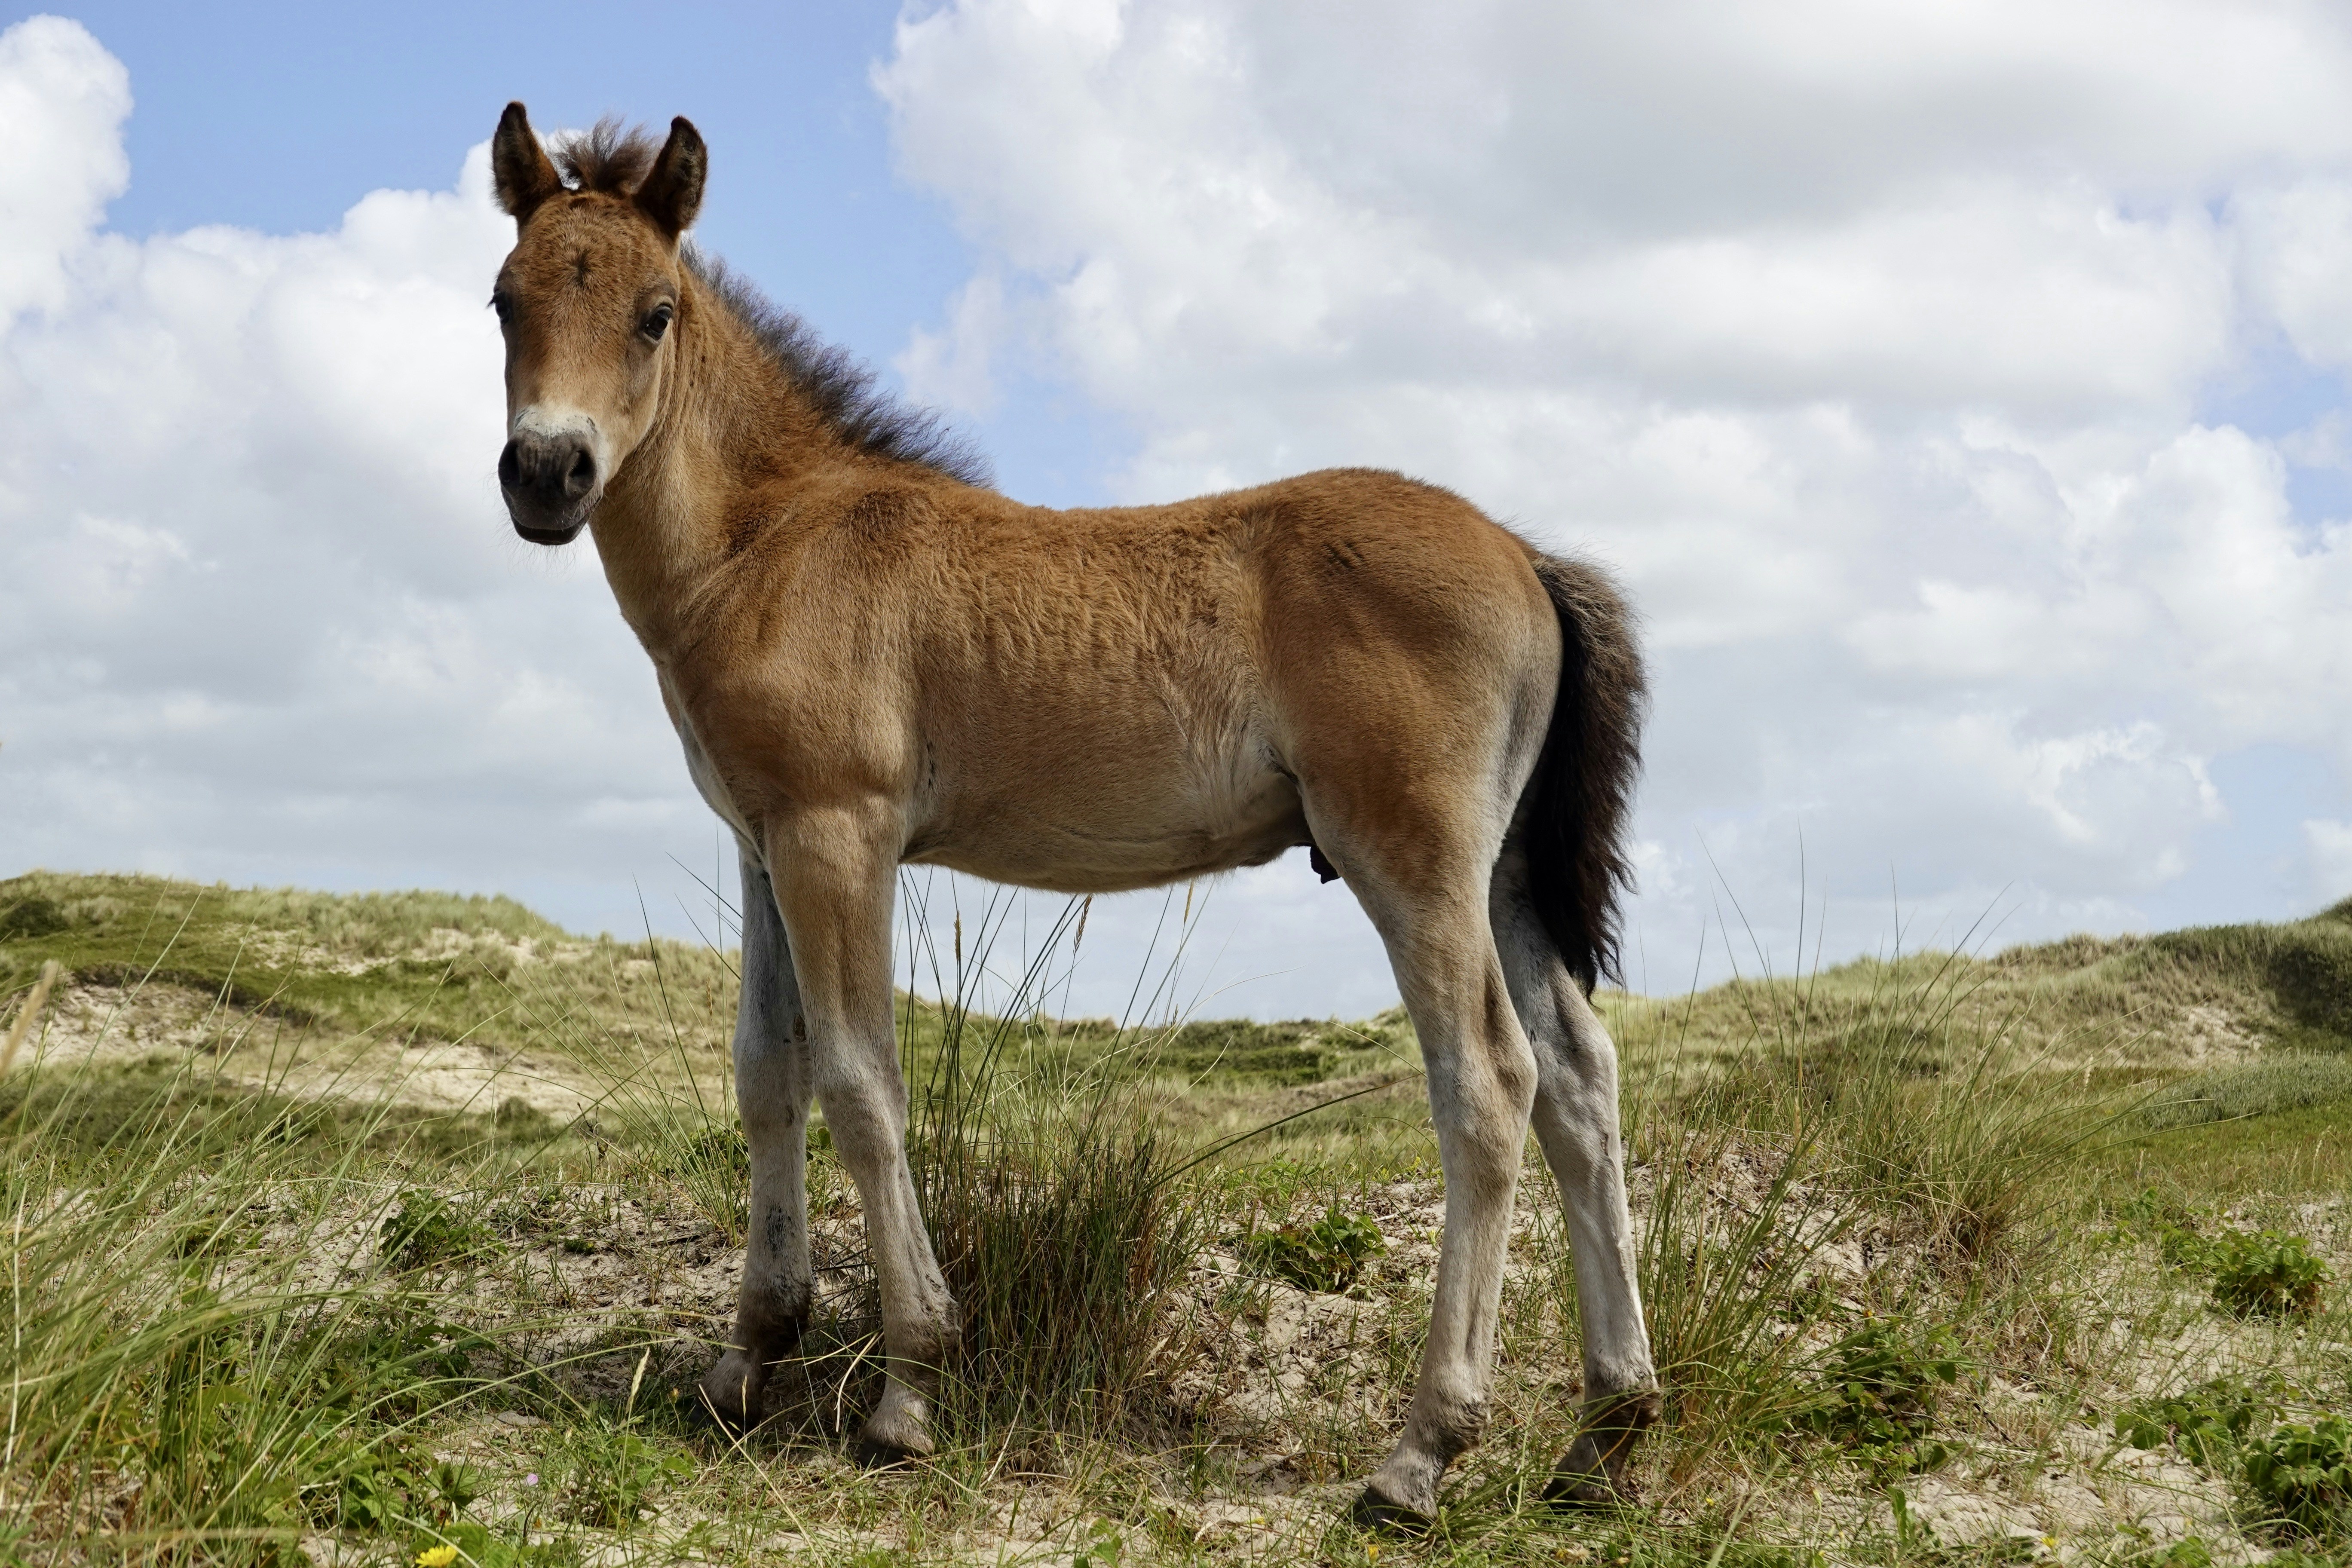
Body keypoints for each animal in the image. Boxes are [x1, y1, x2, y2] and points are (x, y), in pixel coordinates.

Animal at [484, 103, 1659, 1527]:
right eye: (503, 301)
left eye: (654, 313)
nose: (548, 473)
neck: (769, 543)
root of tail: (1525, 554)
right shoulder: (761, 844)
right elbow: (767, 1074)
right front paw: (748, 1358)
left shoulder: (839, 836)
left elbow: (860, 1082)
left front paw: (909, 1389)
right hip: (1503, 877)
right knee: (1581, 1081)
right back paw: (1606, 1432)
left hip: (1415, 862)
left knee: (1489, 1083)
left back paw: (1421, 1451)